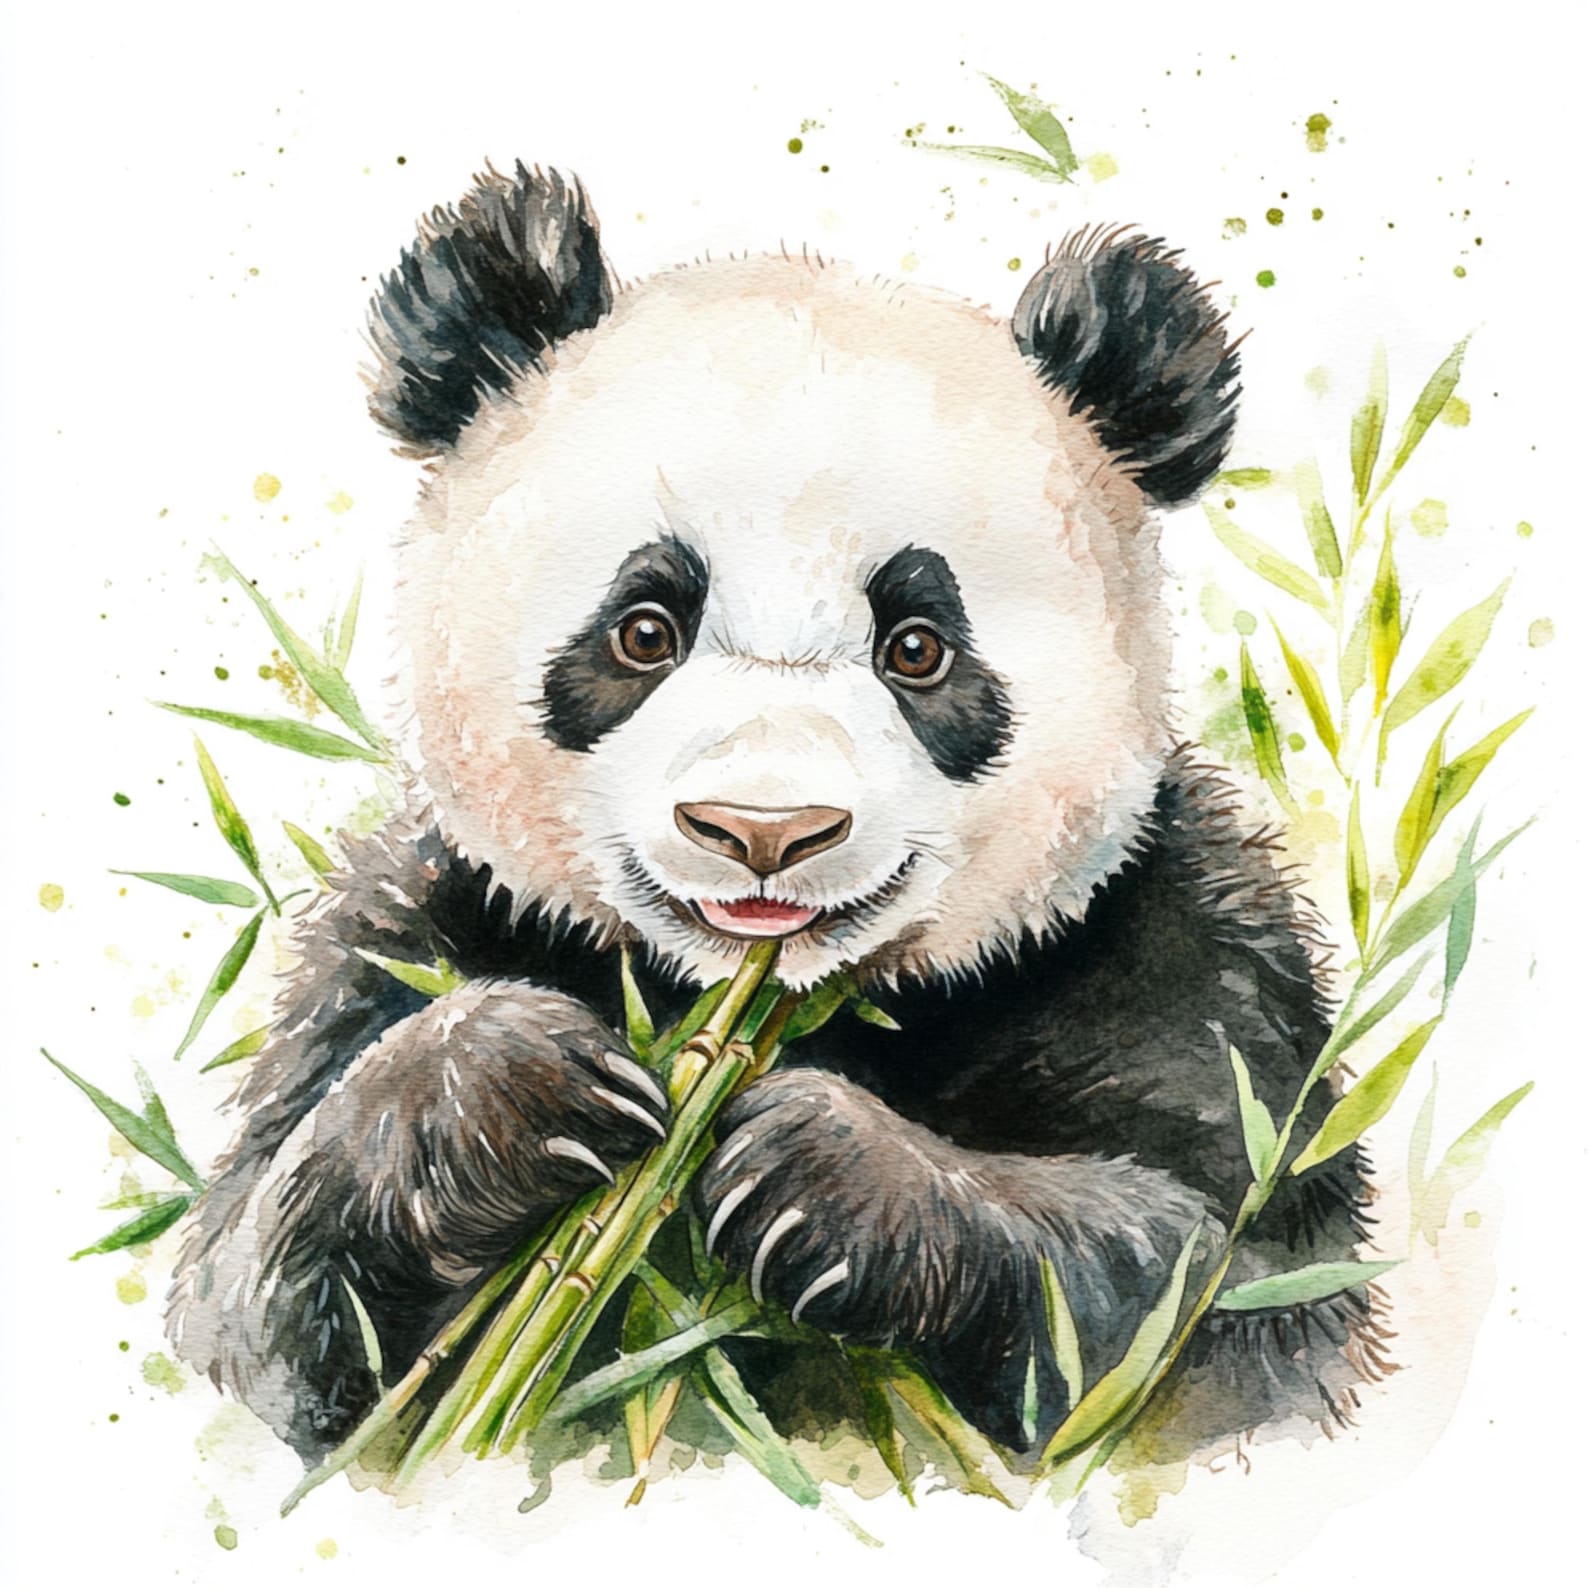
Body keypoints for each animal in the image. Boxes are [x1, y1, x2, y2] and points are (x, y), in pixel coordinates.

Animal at [167, 163, 1390, 1467]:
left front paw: (820, 1177)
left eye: (918, 647)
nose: (762, 832)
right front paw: (515, 1092)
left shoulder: (1185, 968)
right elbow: (251, 1305)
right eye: (643, 628)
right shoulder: (413, 934)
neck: (760, 1003)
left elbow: (1222, 1291)